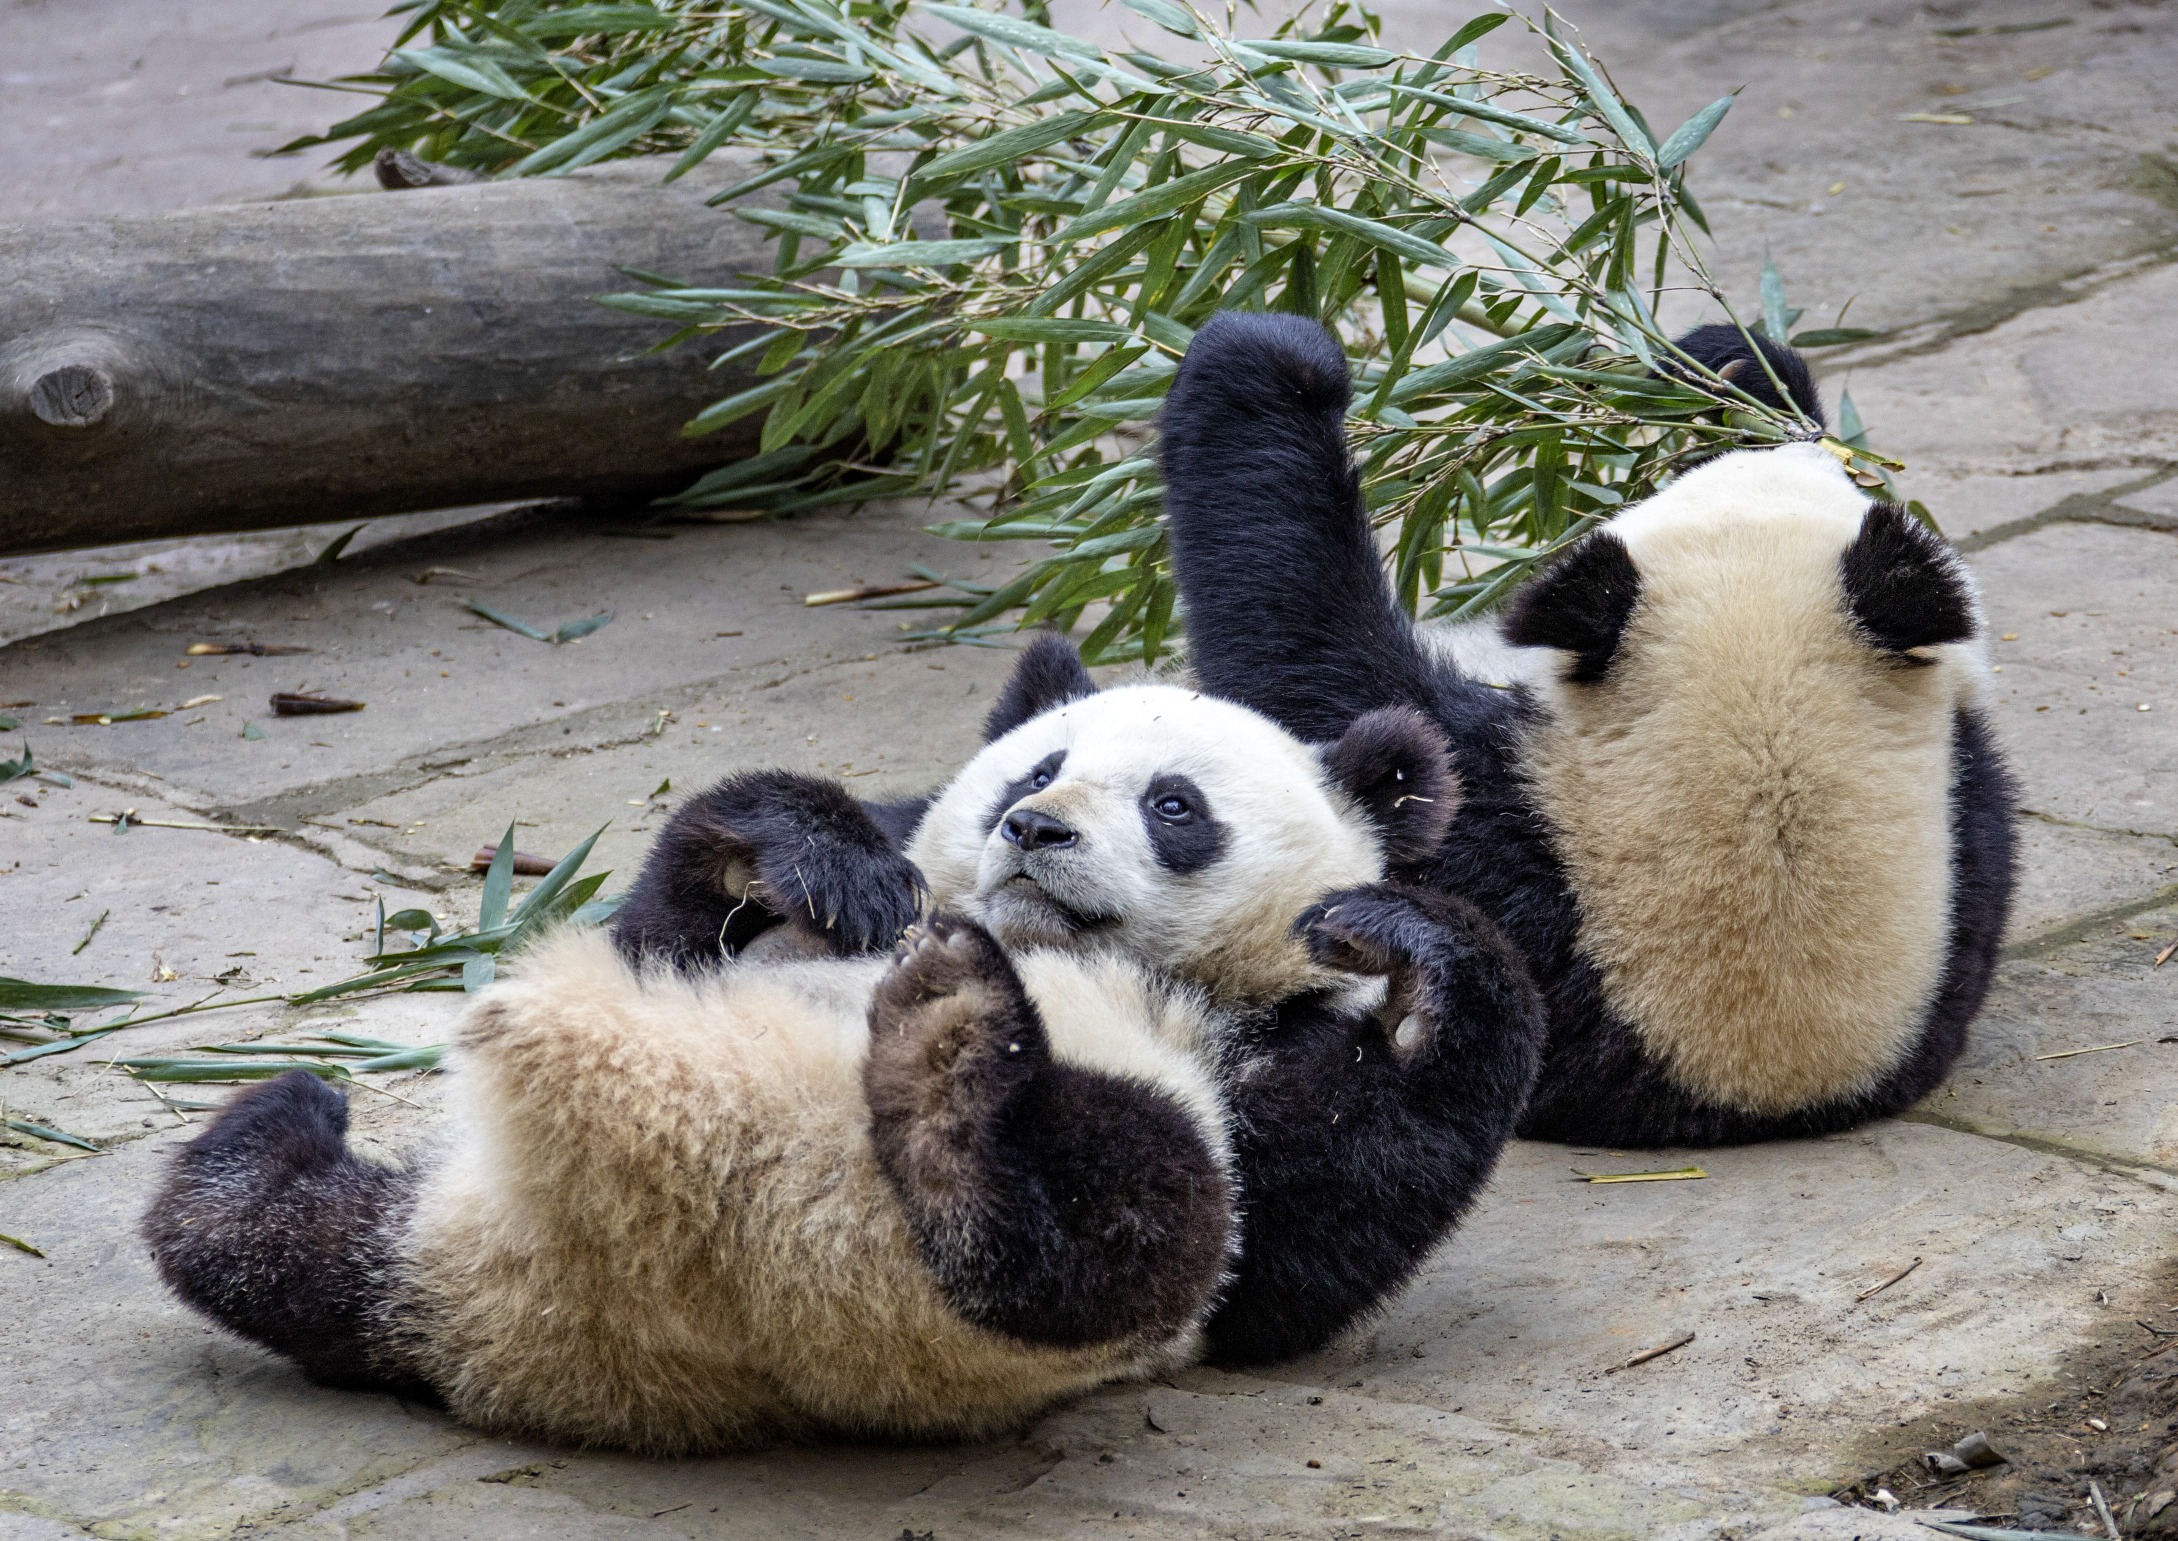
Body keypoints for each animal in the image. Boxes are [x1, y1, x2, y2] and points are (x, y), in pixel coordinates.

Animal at [145, 637, 1545, 1452]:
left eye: (1175, 805)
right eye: (1032, 766)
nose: (1035, 829)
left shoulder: (1246, 1038)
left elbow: (1302, 1231)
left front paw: (1416, 945)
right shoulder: (715, 947)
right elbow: (671, 910)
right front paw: (817, 854)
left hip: (1094, 1197)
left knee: (1132, 1217)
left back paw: (957, 1066)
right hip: (444, 1223)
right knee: (283, 1242)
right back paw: (274, 1130)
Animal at [1155, 311, 2018, 1148]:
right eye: (1839, 483)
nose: (1801, 443)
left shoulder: (1495, 852)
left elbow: (1305, 660)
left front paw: (1276, 361)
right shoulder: (1975, 836)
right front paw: (1729, 368)